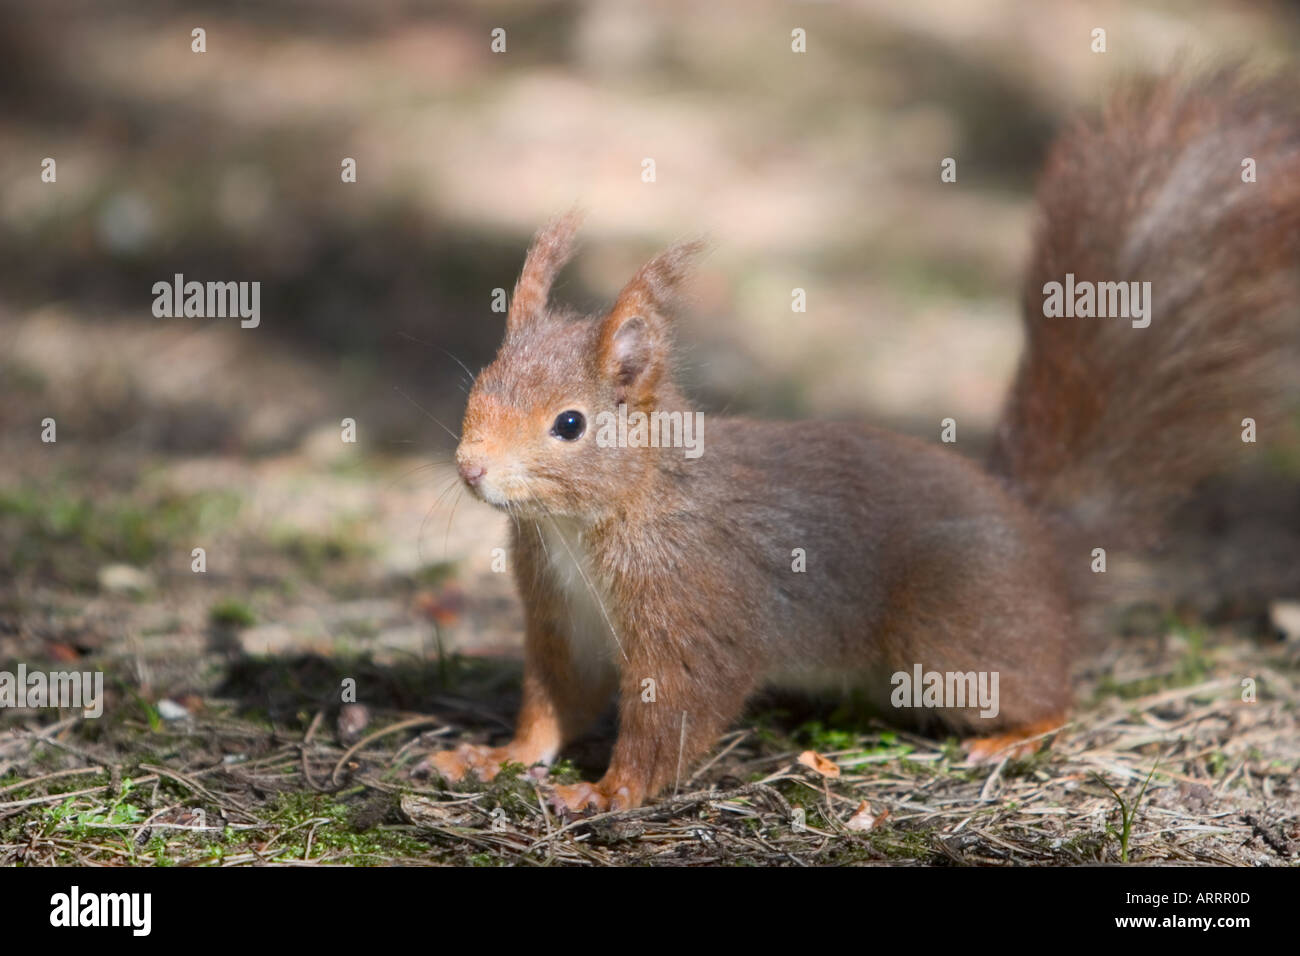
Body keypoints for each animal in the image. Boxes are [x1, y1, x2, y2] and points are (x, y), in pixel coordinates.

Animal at [430, 70, 1300, 812]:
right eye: (478, 387)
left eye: (570, 424)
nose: (470, 469)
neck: (585, 525)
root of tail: (1043, 544)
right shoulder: (560, 617)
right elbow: (554, 701)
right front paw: (495, 757)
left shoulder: (696, 608)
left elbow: (674, 716)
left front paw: (607, 793)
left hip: (950, 636)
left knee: (1049, 693)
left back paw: (1015, 738)